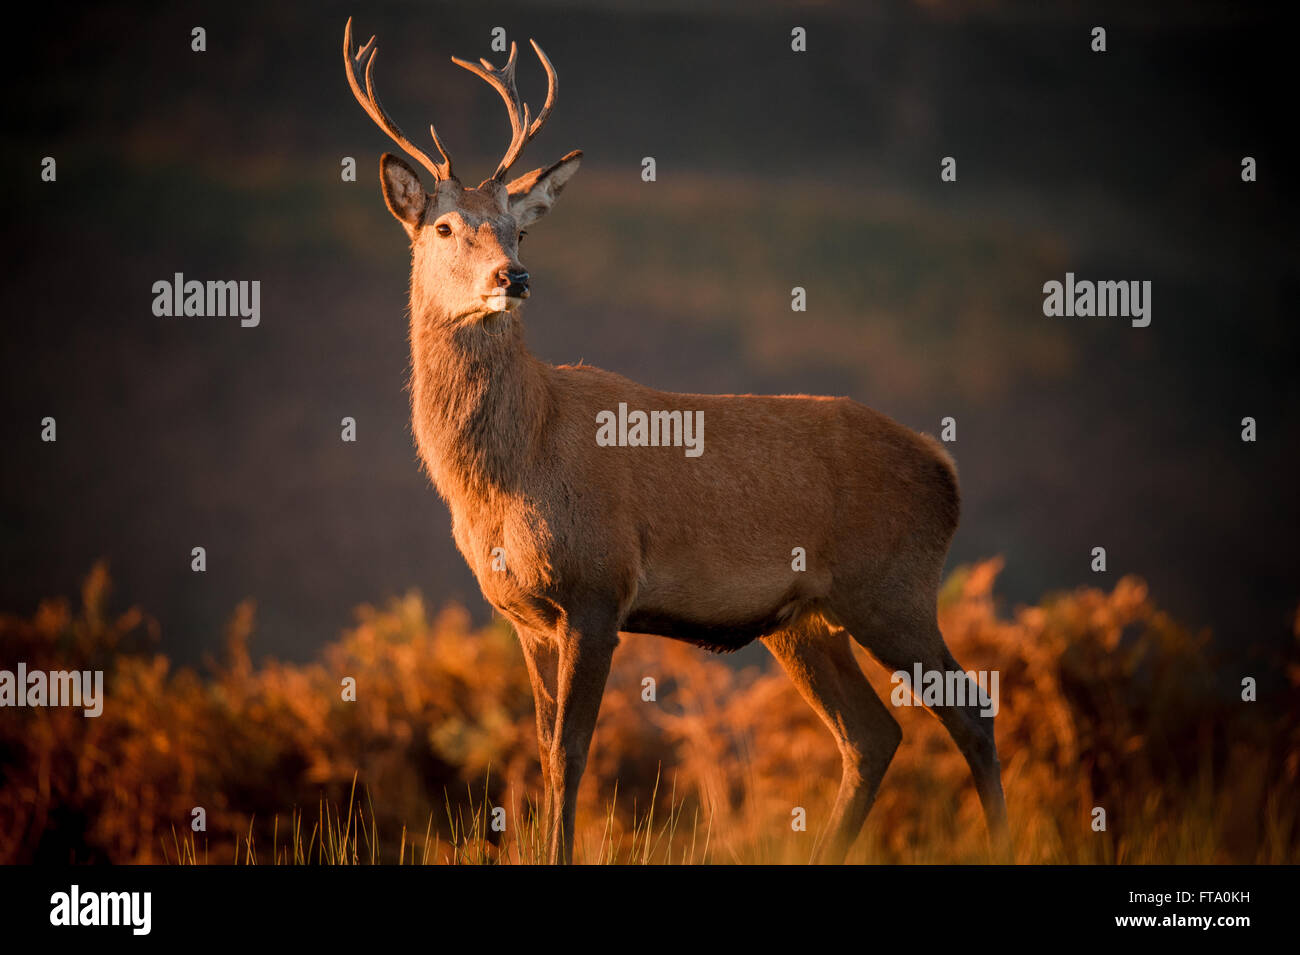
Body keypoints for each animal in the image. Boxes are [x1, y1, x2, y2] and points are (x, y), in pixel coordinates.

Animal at [341, 17, 1008, 864]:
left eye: (518, 229)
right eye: (444, 224)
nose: (511, 277)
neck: (508, 469)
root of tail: (943, 465)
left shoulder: (597, 585)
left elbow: (569, 751)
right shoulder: (524, 613)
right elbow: (539, 746)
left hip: (893, 586)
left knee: (971, 712)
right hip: (806, 621)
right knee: (873, 733)